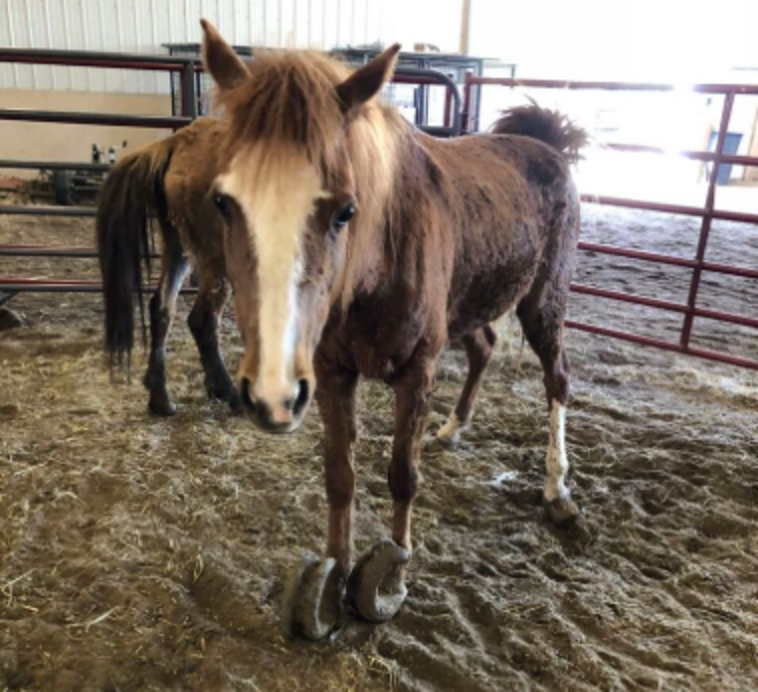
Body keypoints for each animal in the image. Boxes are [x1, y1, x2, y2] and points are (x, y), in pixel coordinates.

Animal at [97, 117, 239, 416]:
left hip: (178, 246)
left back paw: (160, 395)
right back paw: (229, 393)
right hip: (217, 257)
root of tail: (175, 143)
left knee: (161, 307)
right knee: (202, 319)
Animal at [200, 20, 587, 640]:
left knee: (559, 379)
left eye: (345, 211)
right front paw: (331, 585)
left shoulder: (416, 371)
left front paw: (392, 580)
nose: (272, 395)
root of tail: (549, 146)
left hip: (542, 304)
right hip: (470, 309)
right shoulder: (331, 373)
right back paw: (453, 429)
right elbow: (340, 476)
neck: (379, 258)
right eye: (222, 201)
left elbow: (403, 475)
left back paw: (557, 490)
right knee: (484, 349)